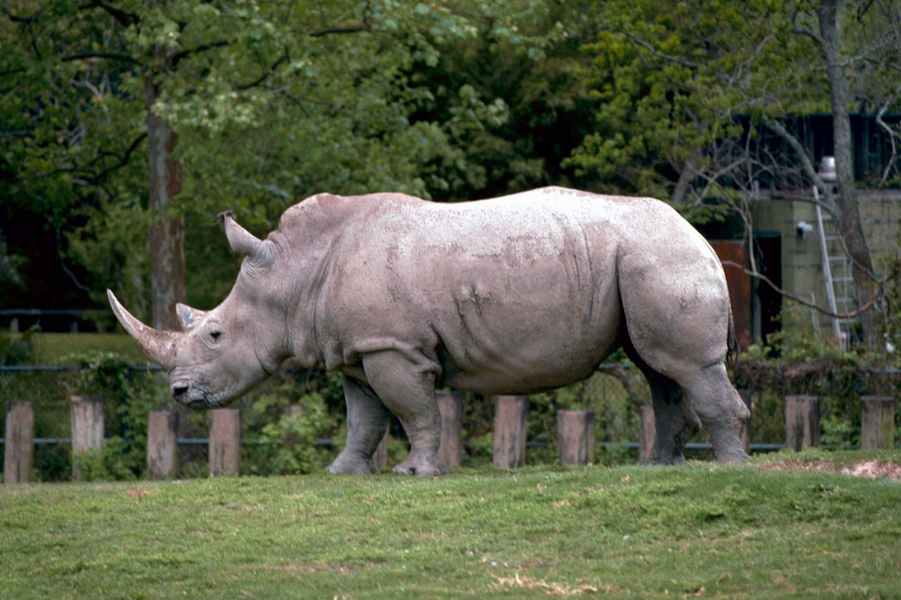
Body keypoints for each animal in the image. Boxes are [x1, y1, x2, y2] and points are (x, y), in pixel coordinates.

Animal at [108, 186, 750, 475]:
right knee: (657, 370)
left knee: (684, 366)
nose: (178, 393)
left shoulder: (395, 347)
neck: (296, 272)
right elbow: (363, 418)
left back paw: (730, 467)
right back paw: (659, 466)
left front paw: (414, 473)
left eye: (214, 335)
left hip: (660, 256)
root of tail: (699, 234)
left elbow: (412, 409)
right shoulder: (358, 349)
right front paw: (342, 473)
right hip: (644, 256)